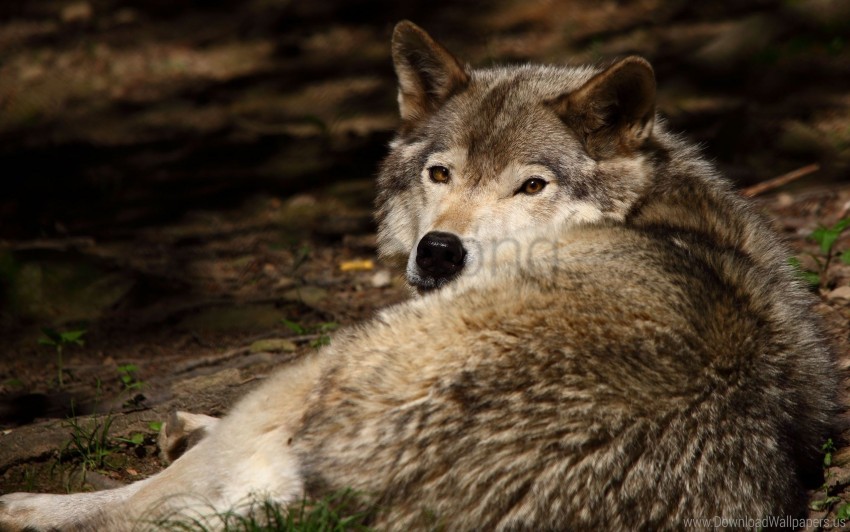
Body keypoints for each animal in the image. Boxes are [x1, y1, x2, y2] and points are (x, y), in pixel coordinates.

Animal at [0, 20, 839, 531]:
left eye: (531, 186)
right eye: (441, 174)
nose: (439, 251)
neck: (652, 206)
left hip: (319, 365)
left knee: (145, 503)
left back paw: (29, 504)